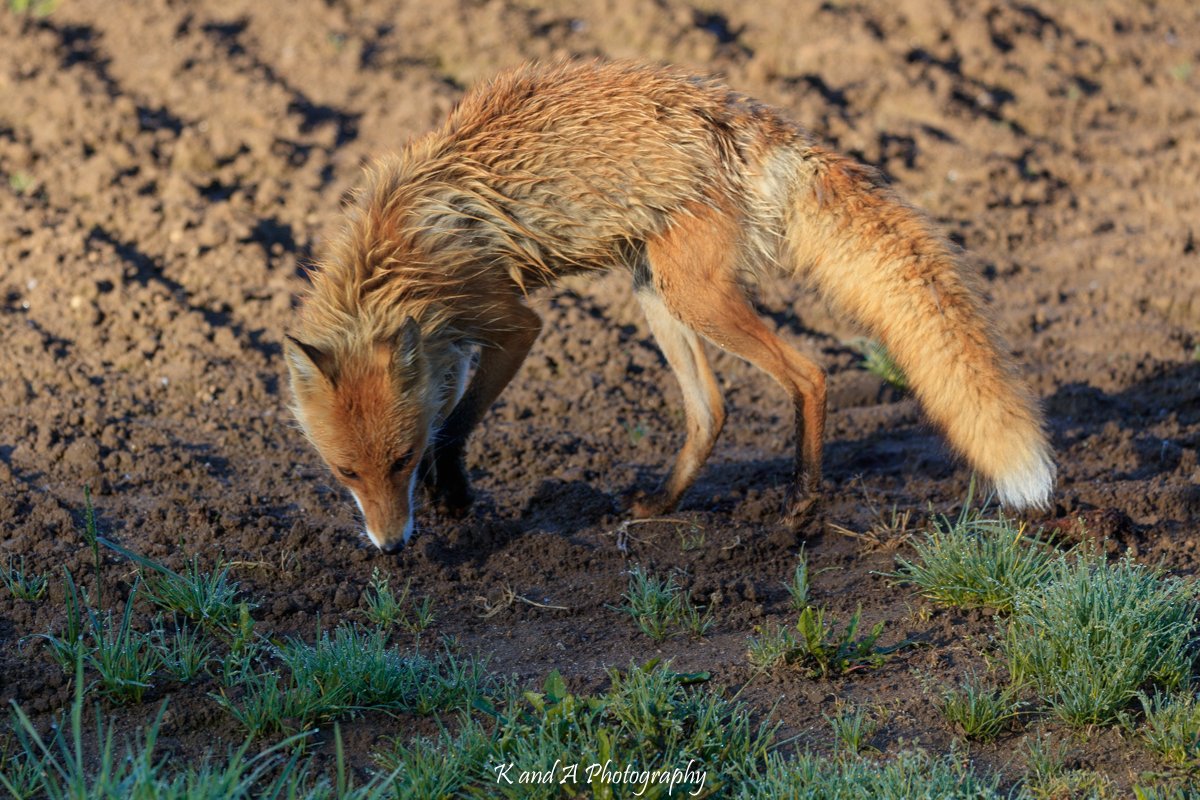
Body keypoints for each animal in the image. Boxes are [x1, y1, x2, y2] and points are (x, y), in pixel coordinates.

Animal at [284, 60, 1055, 553]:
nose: (391, 547)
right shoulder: (459, 339)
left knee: (809, 375)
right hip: (653, 290)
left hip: (693, 296)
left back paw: (802, 509)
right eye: (347, 474)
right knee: (710, 410)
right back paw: (664, 505)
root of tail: (747, 121)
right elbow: (451, 410)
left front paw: (455, 498)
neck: (397, 259)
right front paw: (450, 498)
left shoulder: (514, 323)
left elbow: (456, 421)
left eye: (401, 460)